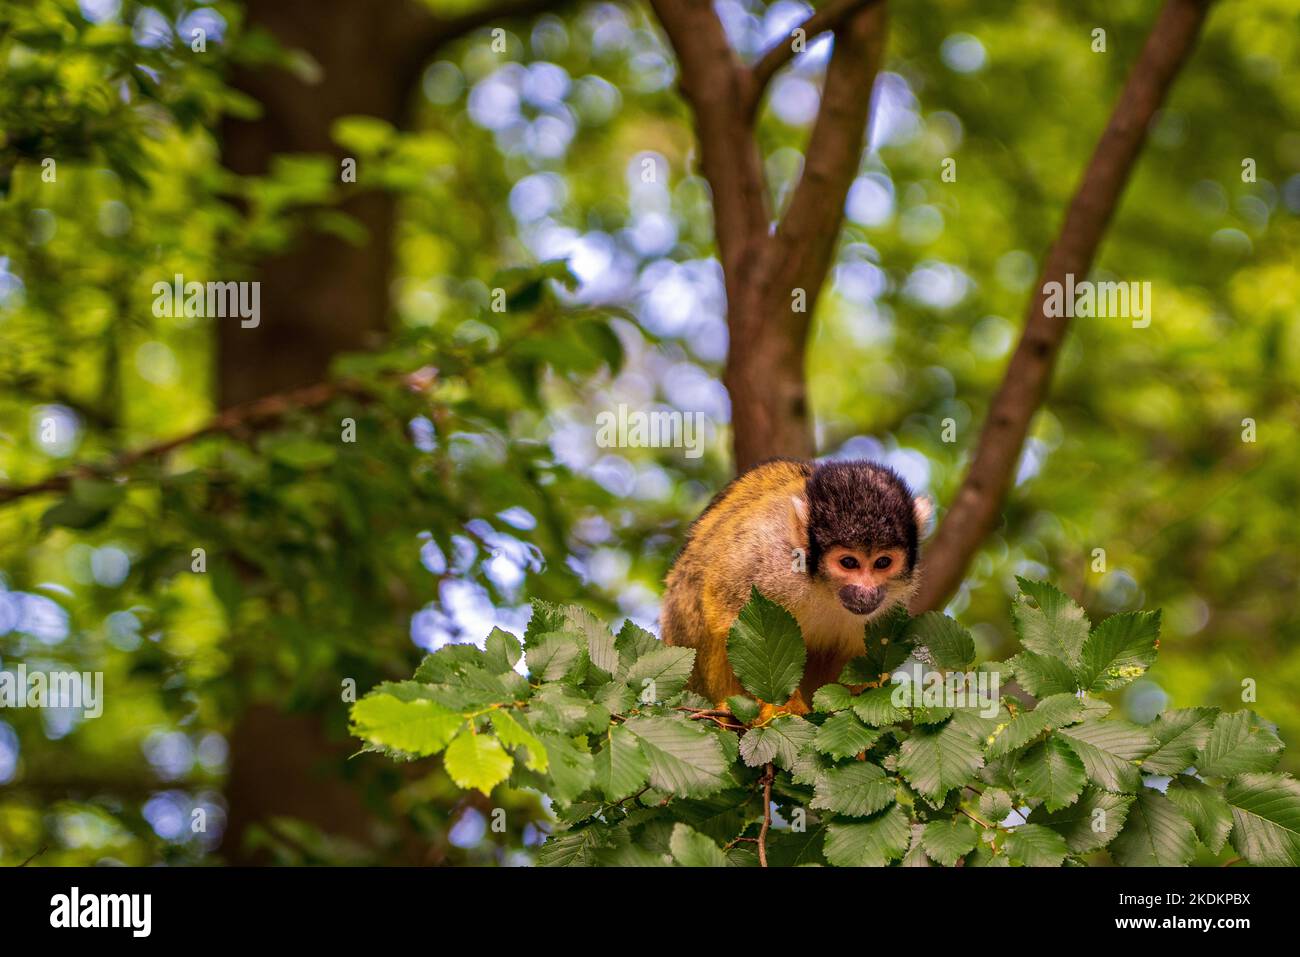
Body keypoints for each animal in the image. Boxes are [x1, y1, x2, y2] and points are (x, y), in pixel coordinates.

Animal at [660, 458, 932, 716]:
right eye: (849, 563)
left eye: (883, 562)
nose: (866, 593)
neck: (823, 587)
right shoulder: (768, 561)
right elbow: (727, 615)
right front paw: (779, 707)